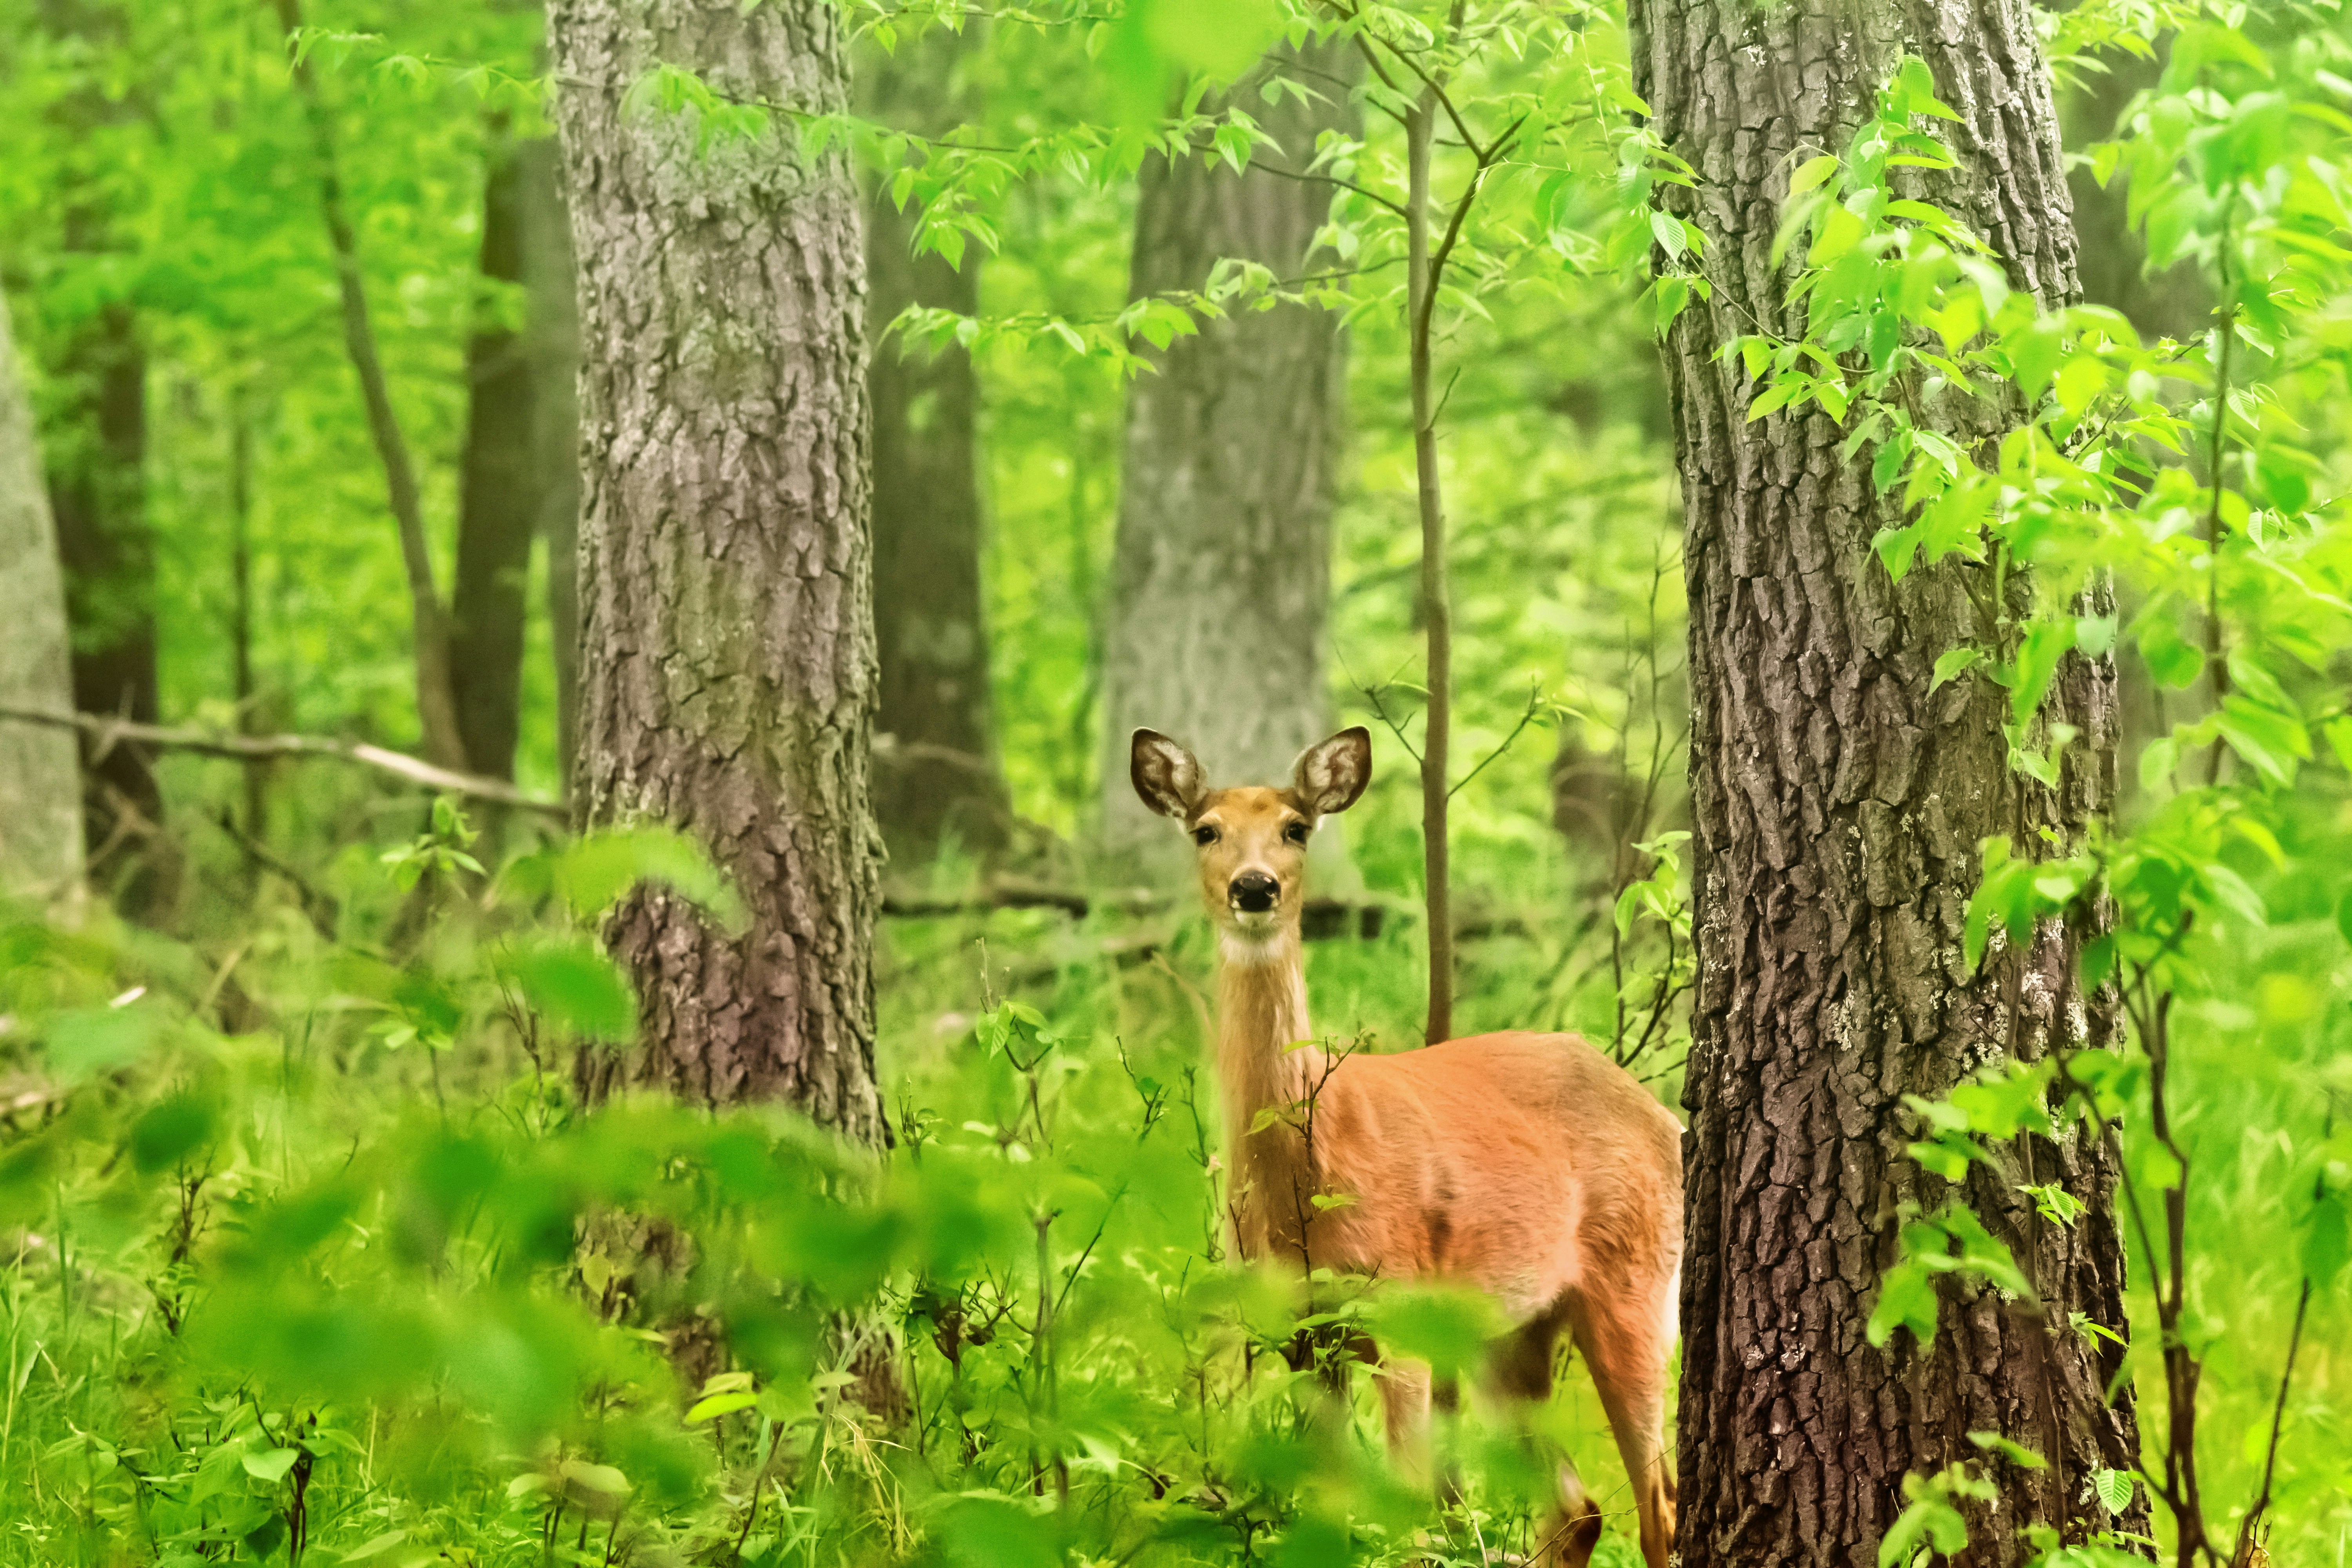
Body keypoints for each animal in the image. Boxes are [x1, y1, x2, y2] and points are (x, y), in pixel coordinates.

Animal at [1130, 725, 1683, 1568]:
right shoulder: (1302, 1335)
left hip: (1636, 1283)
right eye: (1206, 829)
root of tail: (1665, 1117)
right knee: (1578, 1507)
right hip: (1512, 1333)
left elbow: (1411, 1519)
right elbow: (1333, 1510)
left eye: (1297, 827)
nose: (1255, 887)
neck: (1306, 1174)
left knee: (1659, 1509)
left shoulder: (1402, 1313)